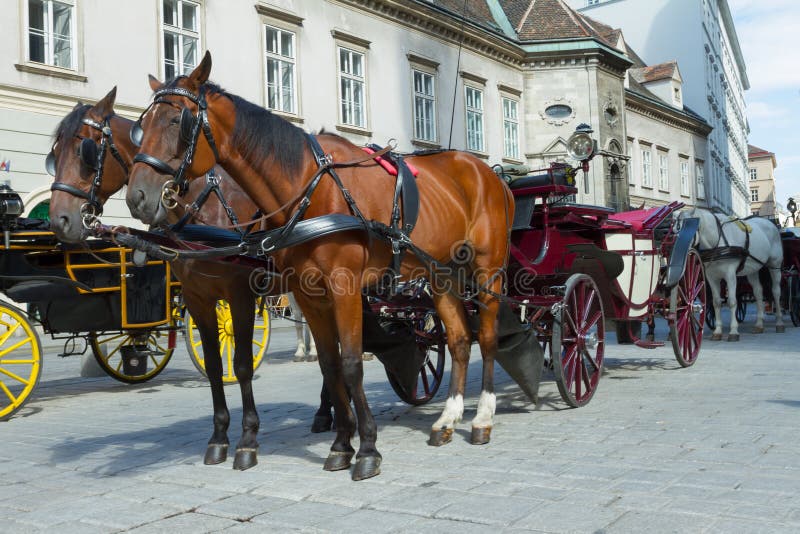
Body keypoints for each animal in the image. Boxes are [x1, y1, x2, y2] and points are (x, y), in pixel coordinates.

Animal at [46, 87, 334, 471]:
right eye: (54, 154)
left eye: (87, 151)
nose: (59, 220)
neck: (200, 206)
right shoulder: (198, 298)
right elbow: (213, 366)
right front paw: (219, 437)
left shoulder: (239, 295)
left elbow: (241, 365)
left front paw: (248, 439)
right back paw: (325, 411)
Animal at [125, 51, 513, 481]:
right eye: (141, 127)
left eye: (177, 121)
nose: (137, 197)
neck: (310, 188)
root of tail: (487, 172)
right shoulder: (305, 294)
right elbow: (328, 364)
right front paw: (342, 444)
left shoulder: (336, 289)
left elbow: (349, 364)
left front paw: (367, 449)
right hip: (440, 273)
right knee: (459, 340)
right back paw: (448, 418)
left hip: (488, 271)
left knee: (487, 337)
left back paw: (482, 419)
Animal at [684, 207, 784, 340]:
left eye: (689, 226)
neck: (717, 243)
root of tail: (770, 223)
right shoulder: (712, 277)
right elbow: (716, 302)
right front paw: (717, 331)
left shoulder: (730, 275)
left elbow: (732, 301)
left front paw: (733, 331)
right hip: (753, 269)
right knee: (758, 292)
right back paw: (759, 325)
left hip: (775, 266)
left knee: (776, 292)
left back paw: (779, 323)